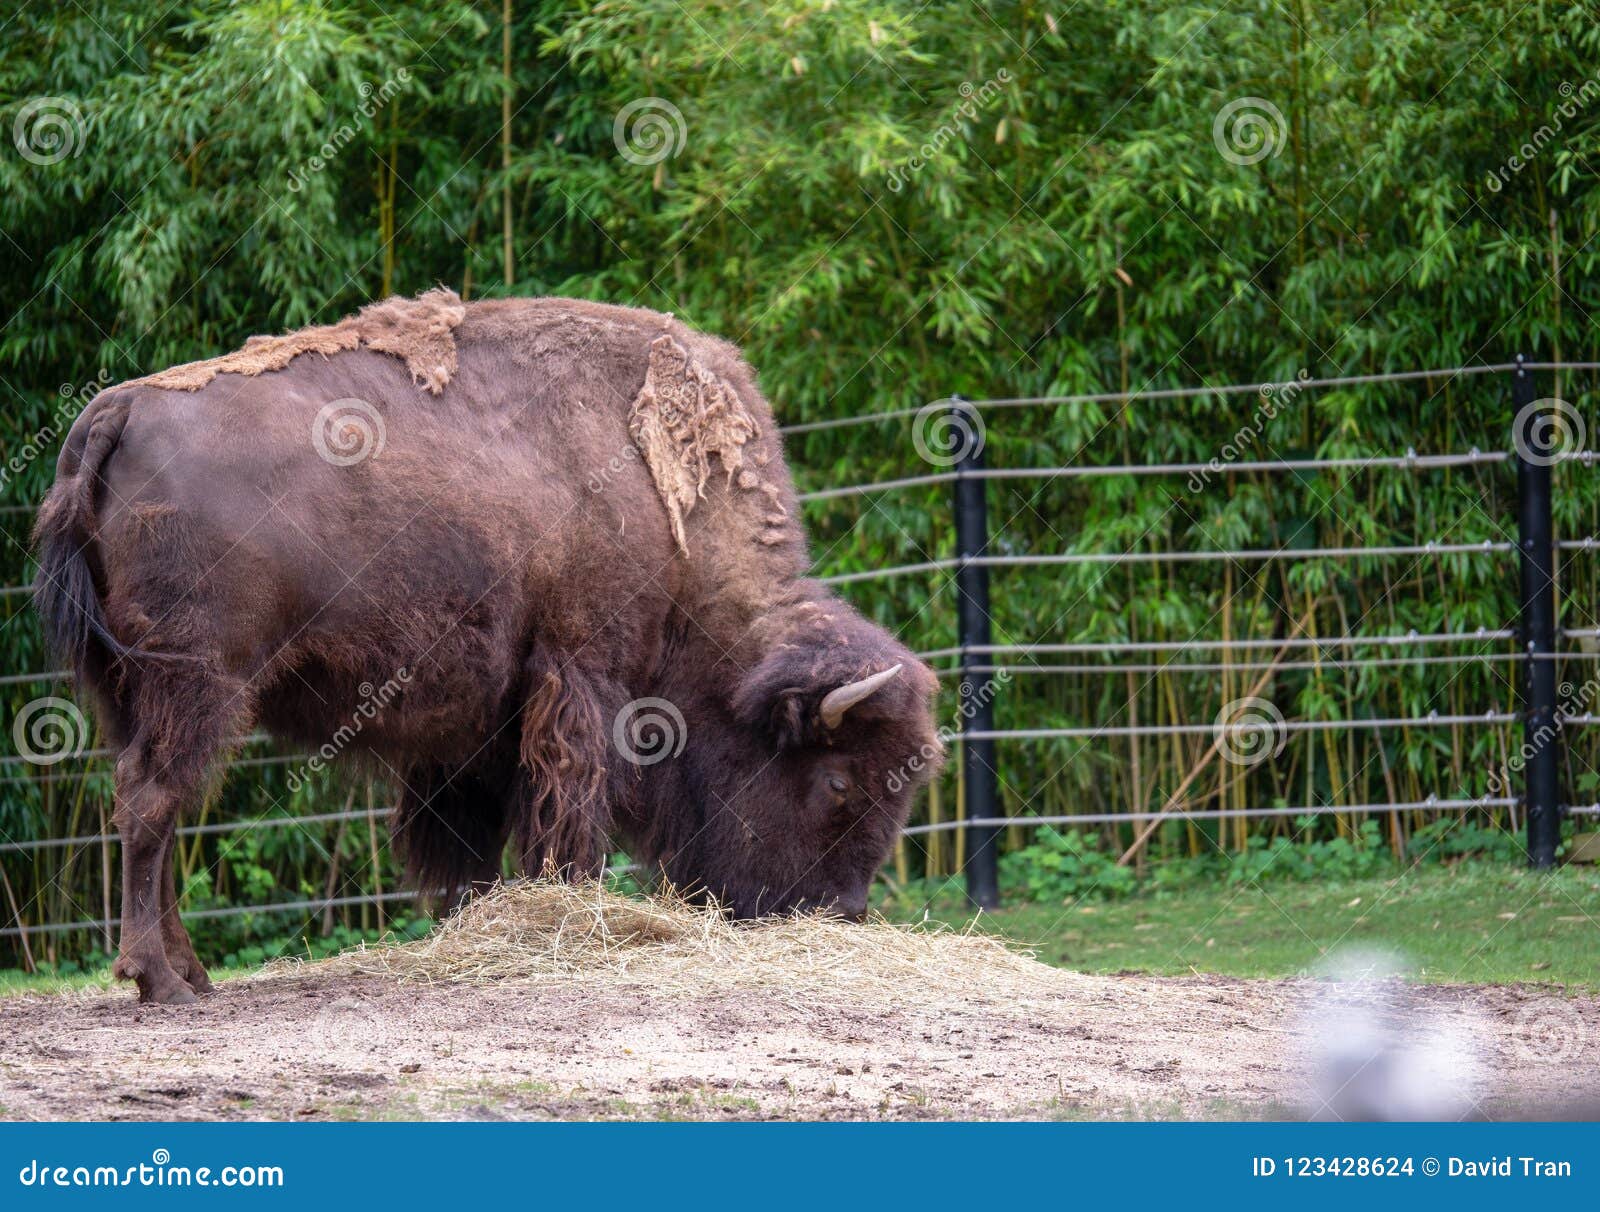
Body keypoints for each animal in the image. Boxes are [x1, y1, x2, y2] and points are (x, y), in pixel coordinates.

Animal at [33, 290, 941, 1004]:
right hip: (198, 683)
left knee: (154, 809)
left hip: (129, 691)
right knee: (151, 803)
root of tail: (121, 410)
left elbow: (468, 837)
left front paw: (472, 918)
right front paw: (564, 908)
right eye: (837, 782)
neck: (674, 515)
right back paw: (160, 980)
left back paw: (193, 974)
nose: (844, 910)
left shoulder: (476, 722)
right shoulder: (581, 678)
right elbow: (567, 808)